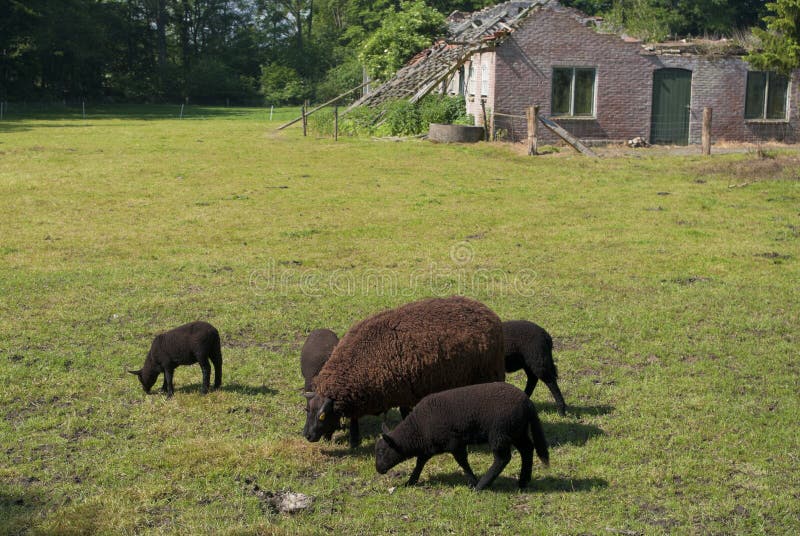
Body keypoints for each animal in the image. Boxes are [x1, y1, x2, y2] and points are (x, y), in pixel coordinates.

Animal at [303, 296, 505, 448]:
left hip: (490, 373)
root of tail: (489, 313)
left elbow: (405, 414)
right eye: (307, 410)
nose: (306, 435)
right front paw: (354, 441)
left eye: (322, 415)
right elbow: (354, 418)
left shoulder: (404, 392)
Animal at [375, 382, 549, 490]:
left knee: (502, 458)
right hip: (517, 430)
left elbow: (463, 462)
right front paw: (410, 481)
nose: (378, 469)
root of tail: (527, 403)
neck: (417, 429)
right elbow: (420, 462)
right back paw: (523, 481)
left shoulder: (454, 443)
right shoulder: (429, 447)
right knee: (527, 449)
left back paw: (482, 485)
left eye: (382, 452)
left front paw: (472, 482)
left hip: (500, 431)